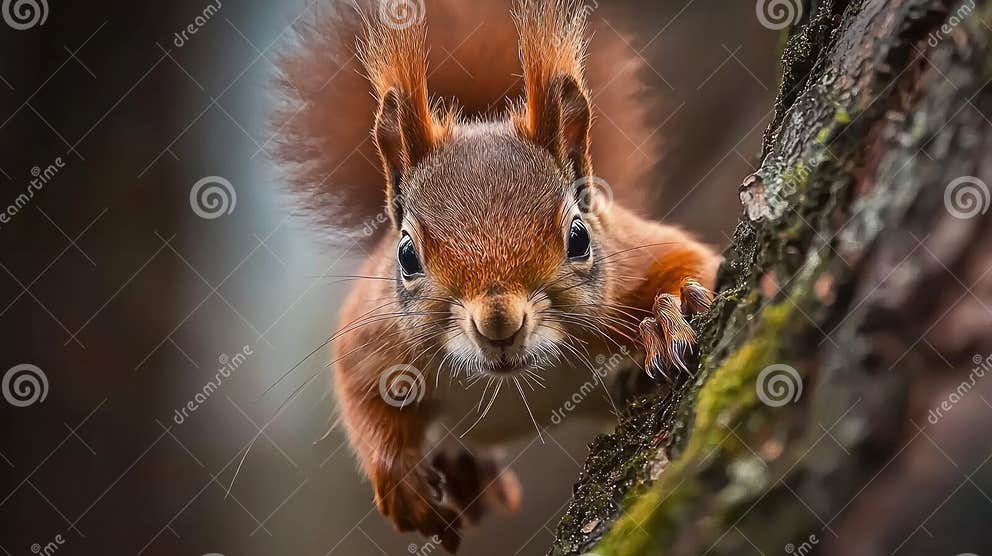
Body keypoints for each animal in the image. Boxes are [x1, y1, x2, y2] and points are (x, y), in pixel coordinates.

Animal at [274, 0, 719, 552]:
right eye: (406, 255)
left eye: (579, 237)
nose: (499, 323)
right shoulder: (373, 334)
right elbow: (360, 395)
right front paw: (399, 479)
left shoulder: (631, 259)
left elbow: (692, 263)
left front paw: (668, 316)